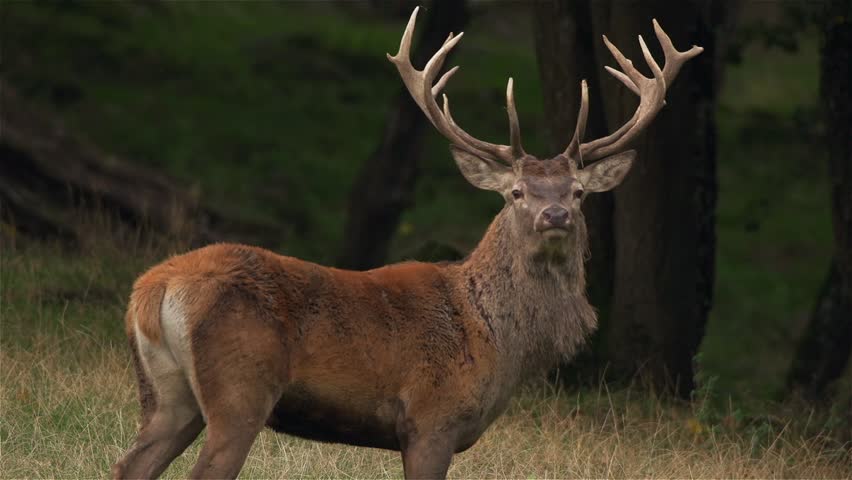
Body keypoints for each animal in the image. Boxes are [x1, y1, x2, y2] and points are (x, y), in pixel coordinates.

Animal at [112, 7, 702, 479]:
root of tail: (151, 291)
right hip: (240, 388)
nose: (554, 214)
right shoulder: (432, 419)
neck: (497, 339)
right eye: (516, 192)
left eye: (578, 192)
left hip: (166, 394)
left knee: (130, 465)